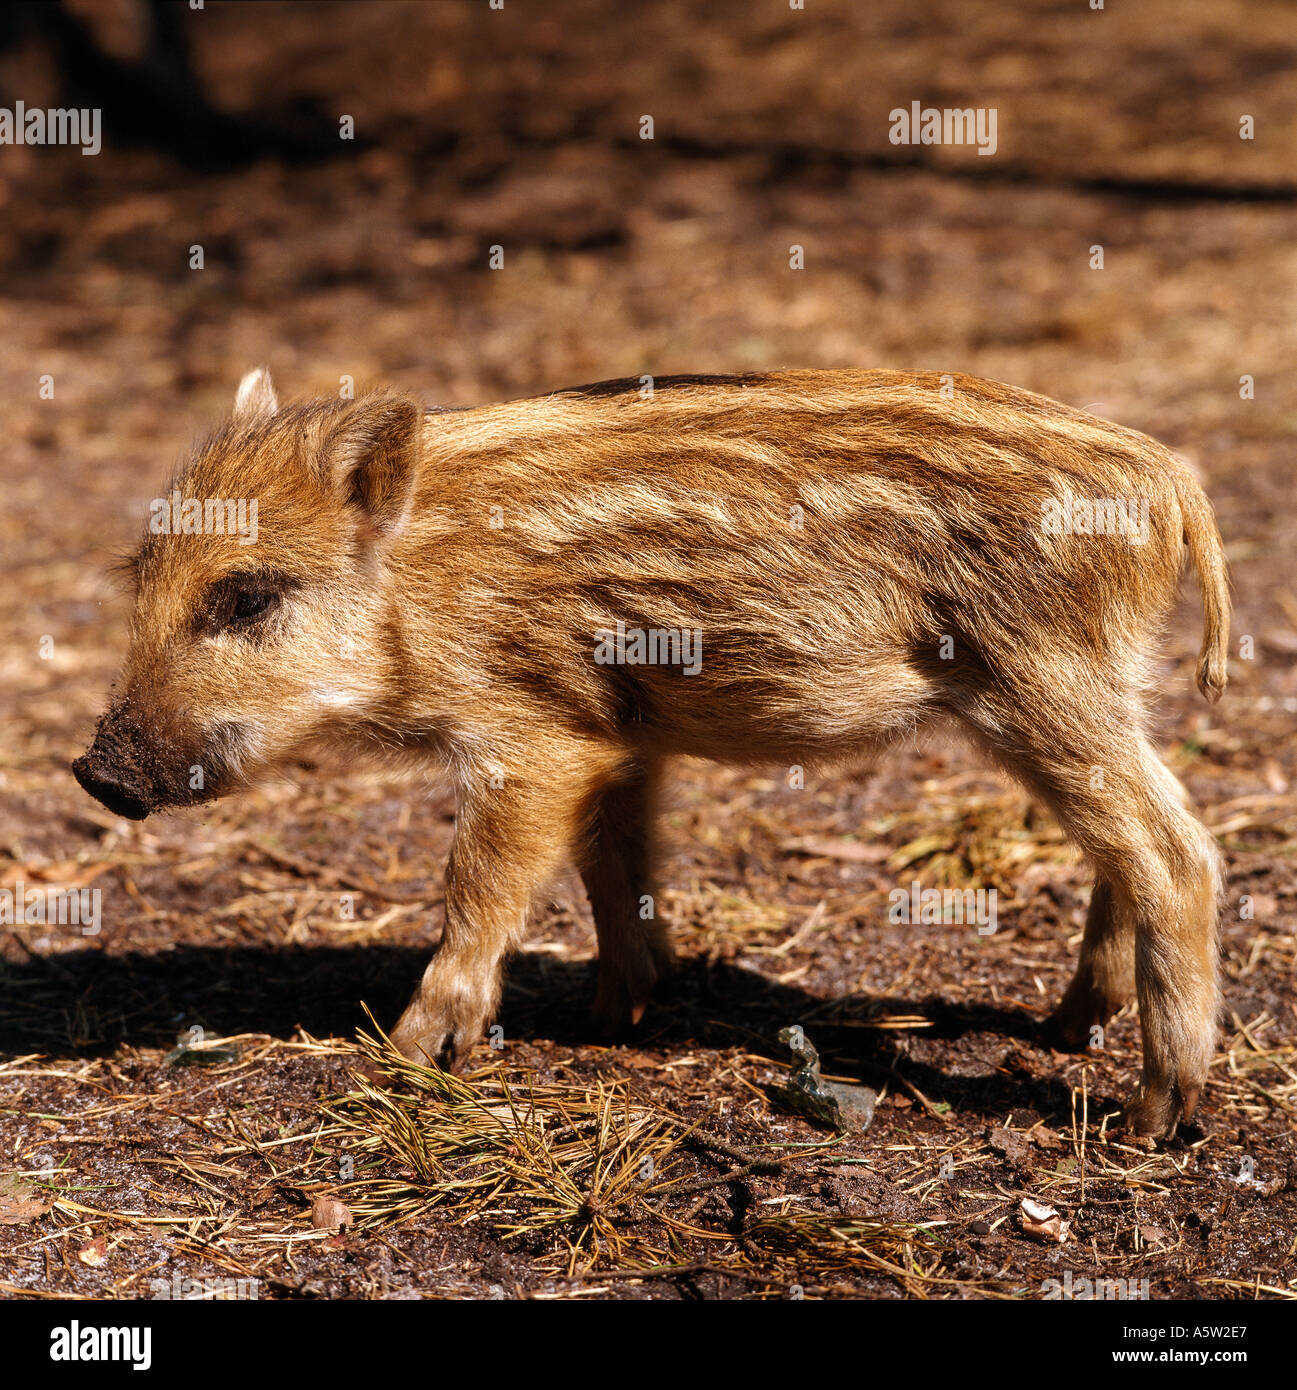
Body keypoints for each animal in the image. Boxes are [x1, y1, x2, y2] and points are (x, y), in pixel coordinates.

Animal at [73, 367, 1229, 1138]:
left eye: (246, 597)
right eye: (143, 576)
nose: (97, 773)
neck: (420, 587)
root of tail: (1170, 478)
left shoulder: (535, 737)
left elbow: (481, 882)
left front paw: (405, 1055)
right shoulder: (617, 735)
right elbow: (609, 860)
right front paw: (612, 1016)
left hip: (1043, 680)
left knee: (1178, 854)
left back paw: (1154, 1116)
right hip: (1095, 690)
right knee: (1133, 841)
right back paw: (1069, 1025)